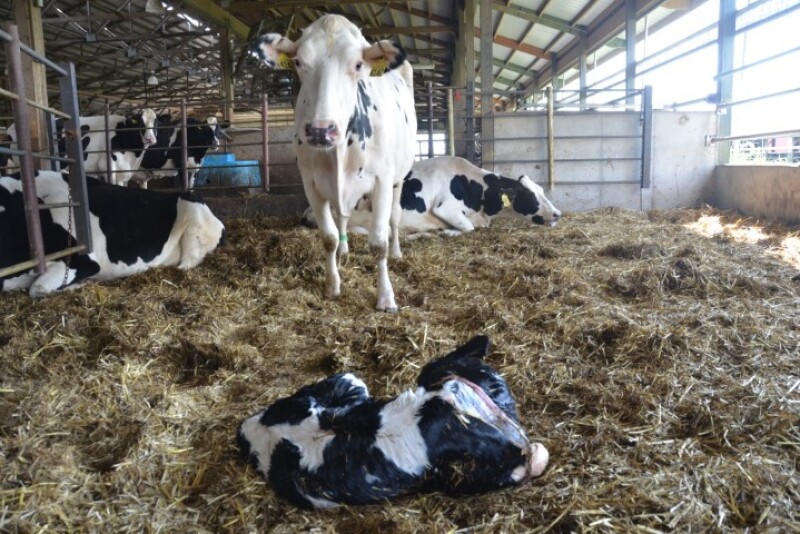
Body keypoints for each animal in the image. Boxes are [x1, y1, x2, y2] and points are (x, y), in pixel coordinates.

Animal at [254, 14, 418, 312]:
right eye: (299, 62)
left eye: (358, 64)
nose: (321, 130)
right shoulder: (311, 183)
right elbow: (328, 237)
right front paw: (332, 285)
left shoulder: (382, 181)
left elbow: (378, 243)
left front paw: (386, 297)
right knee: (342, 217)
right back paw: (344, 251)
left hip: (399, 177)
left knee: (394, 217)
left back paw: (397, 251)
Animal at [302, 156, 561, 237]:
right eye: (531, 196)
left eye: (541, 190)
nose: (558, 213)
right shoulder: (445, 208)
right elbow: (468, 228)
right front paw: (449, 232)